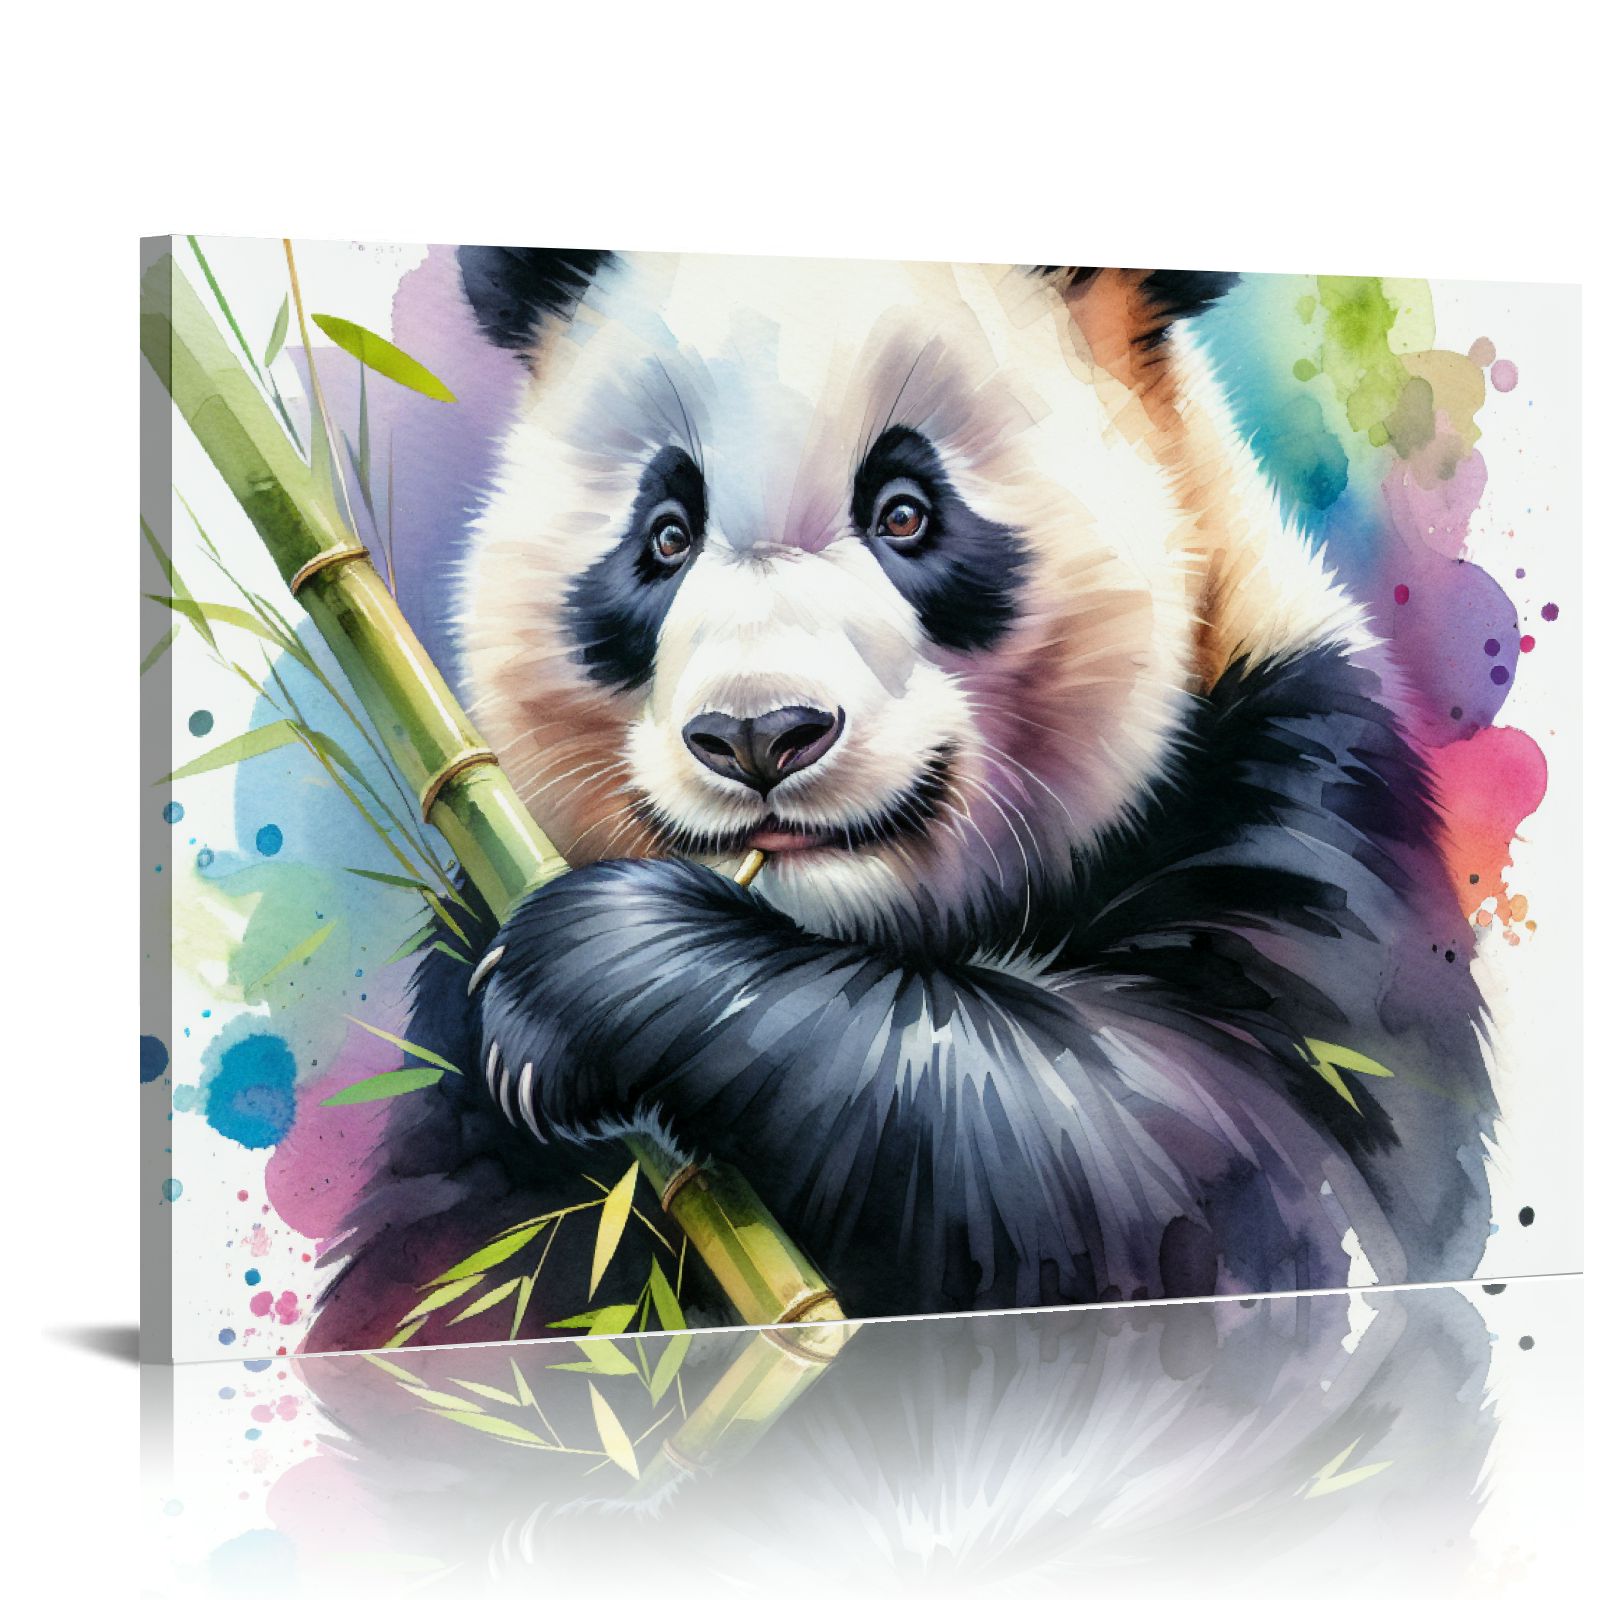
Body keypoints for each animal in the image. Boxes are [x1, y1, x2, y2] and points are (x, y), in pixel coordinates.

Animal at [307, 250, 1497, 1352]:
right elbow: (455, 1270)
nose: (759, 734)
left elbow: (1226, 1179)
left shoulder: (1302, 805)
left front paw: (600, 972)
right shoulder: (464, 974)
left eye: (906, 513)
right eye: (666, 534)